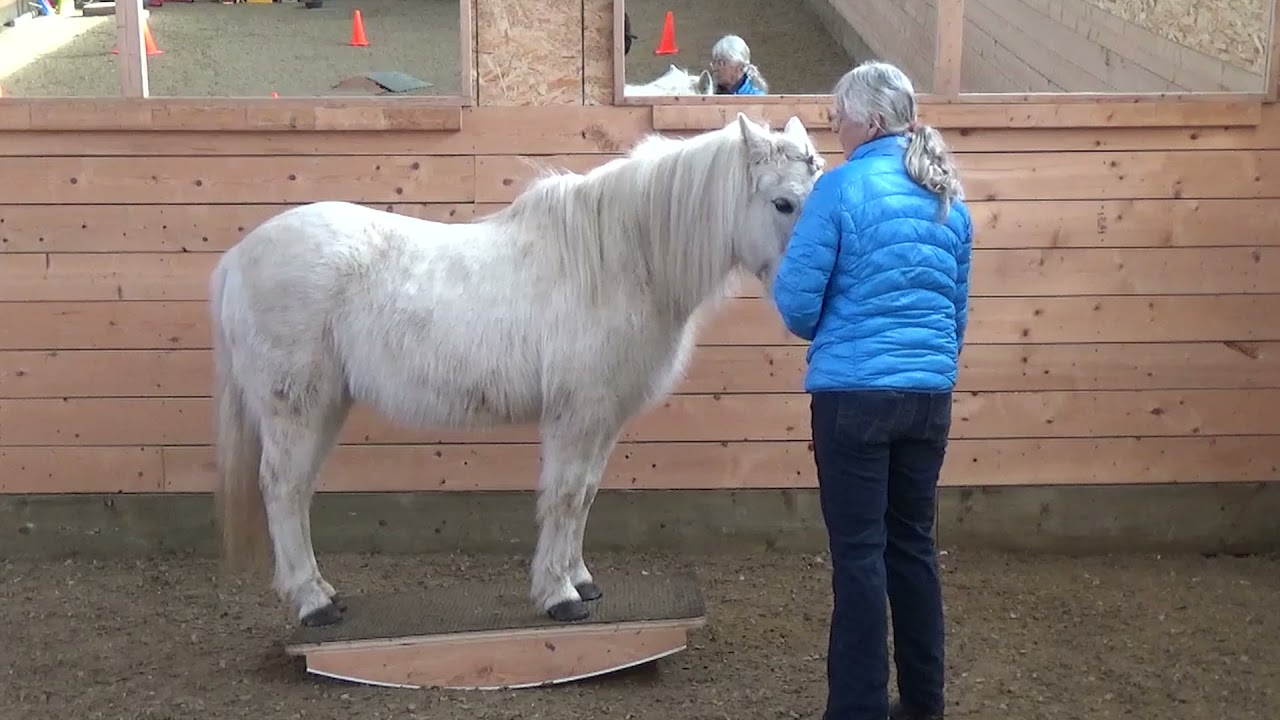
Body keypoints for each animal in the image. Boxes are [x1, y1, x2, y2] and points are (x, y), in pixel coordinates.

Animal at [209, 113, 826, 628]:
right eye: (783, 203)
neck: (621, 261)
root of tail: (237, 259)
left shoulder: (601, 419)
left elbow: (586, 494)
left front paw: (580, 579)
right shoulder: (578, 414)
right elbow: (566, 495)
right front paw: (560, 596)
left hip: (325, 405)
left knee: (297, 491)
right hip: (297, 406)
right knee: (283, 488)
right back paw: (312, 602)